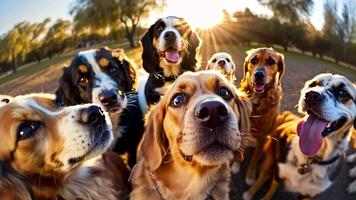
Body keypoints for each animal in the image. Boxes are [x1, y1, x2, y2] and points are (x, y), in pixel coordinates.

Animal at [238, 47, 286, 184]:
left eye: (271, 62)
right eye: (253, 61)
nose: (259, 74)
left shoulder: (263, 137)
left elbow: (255, 158)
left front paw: (250, 176)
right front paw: (235, 165)